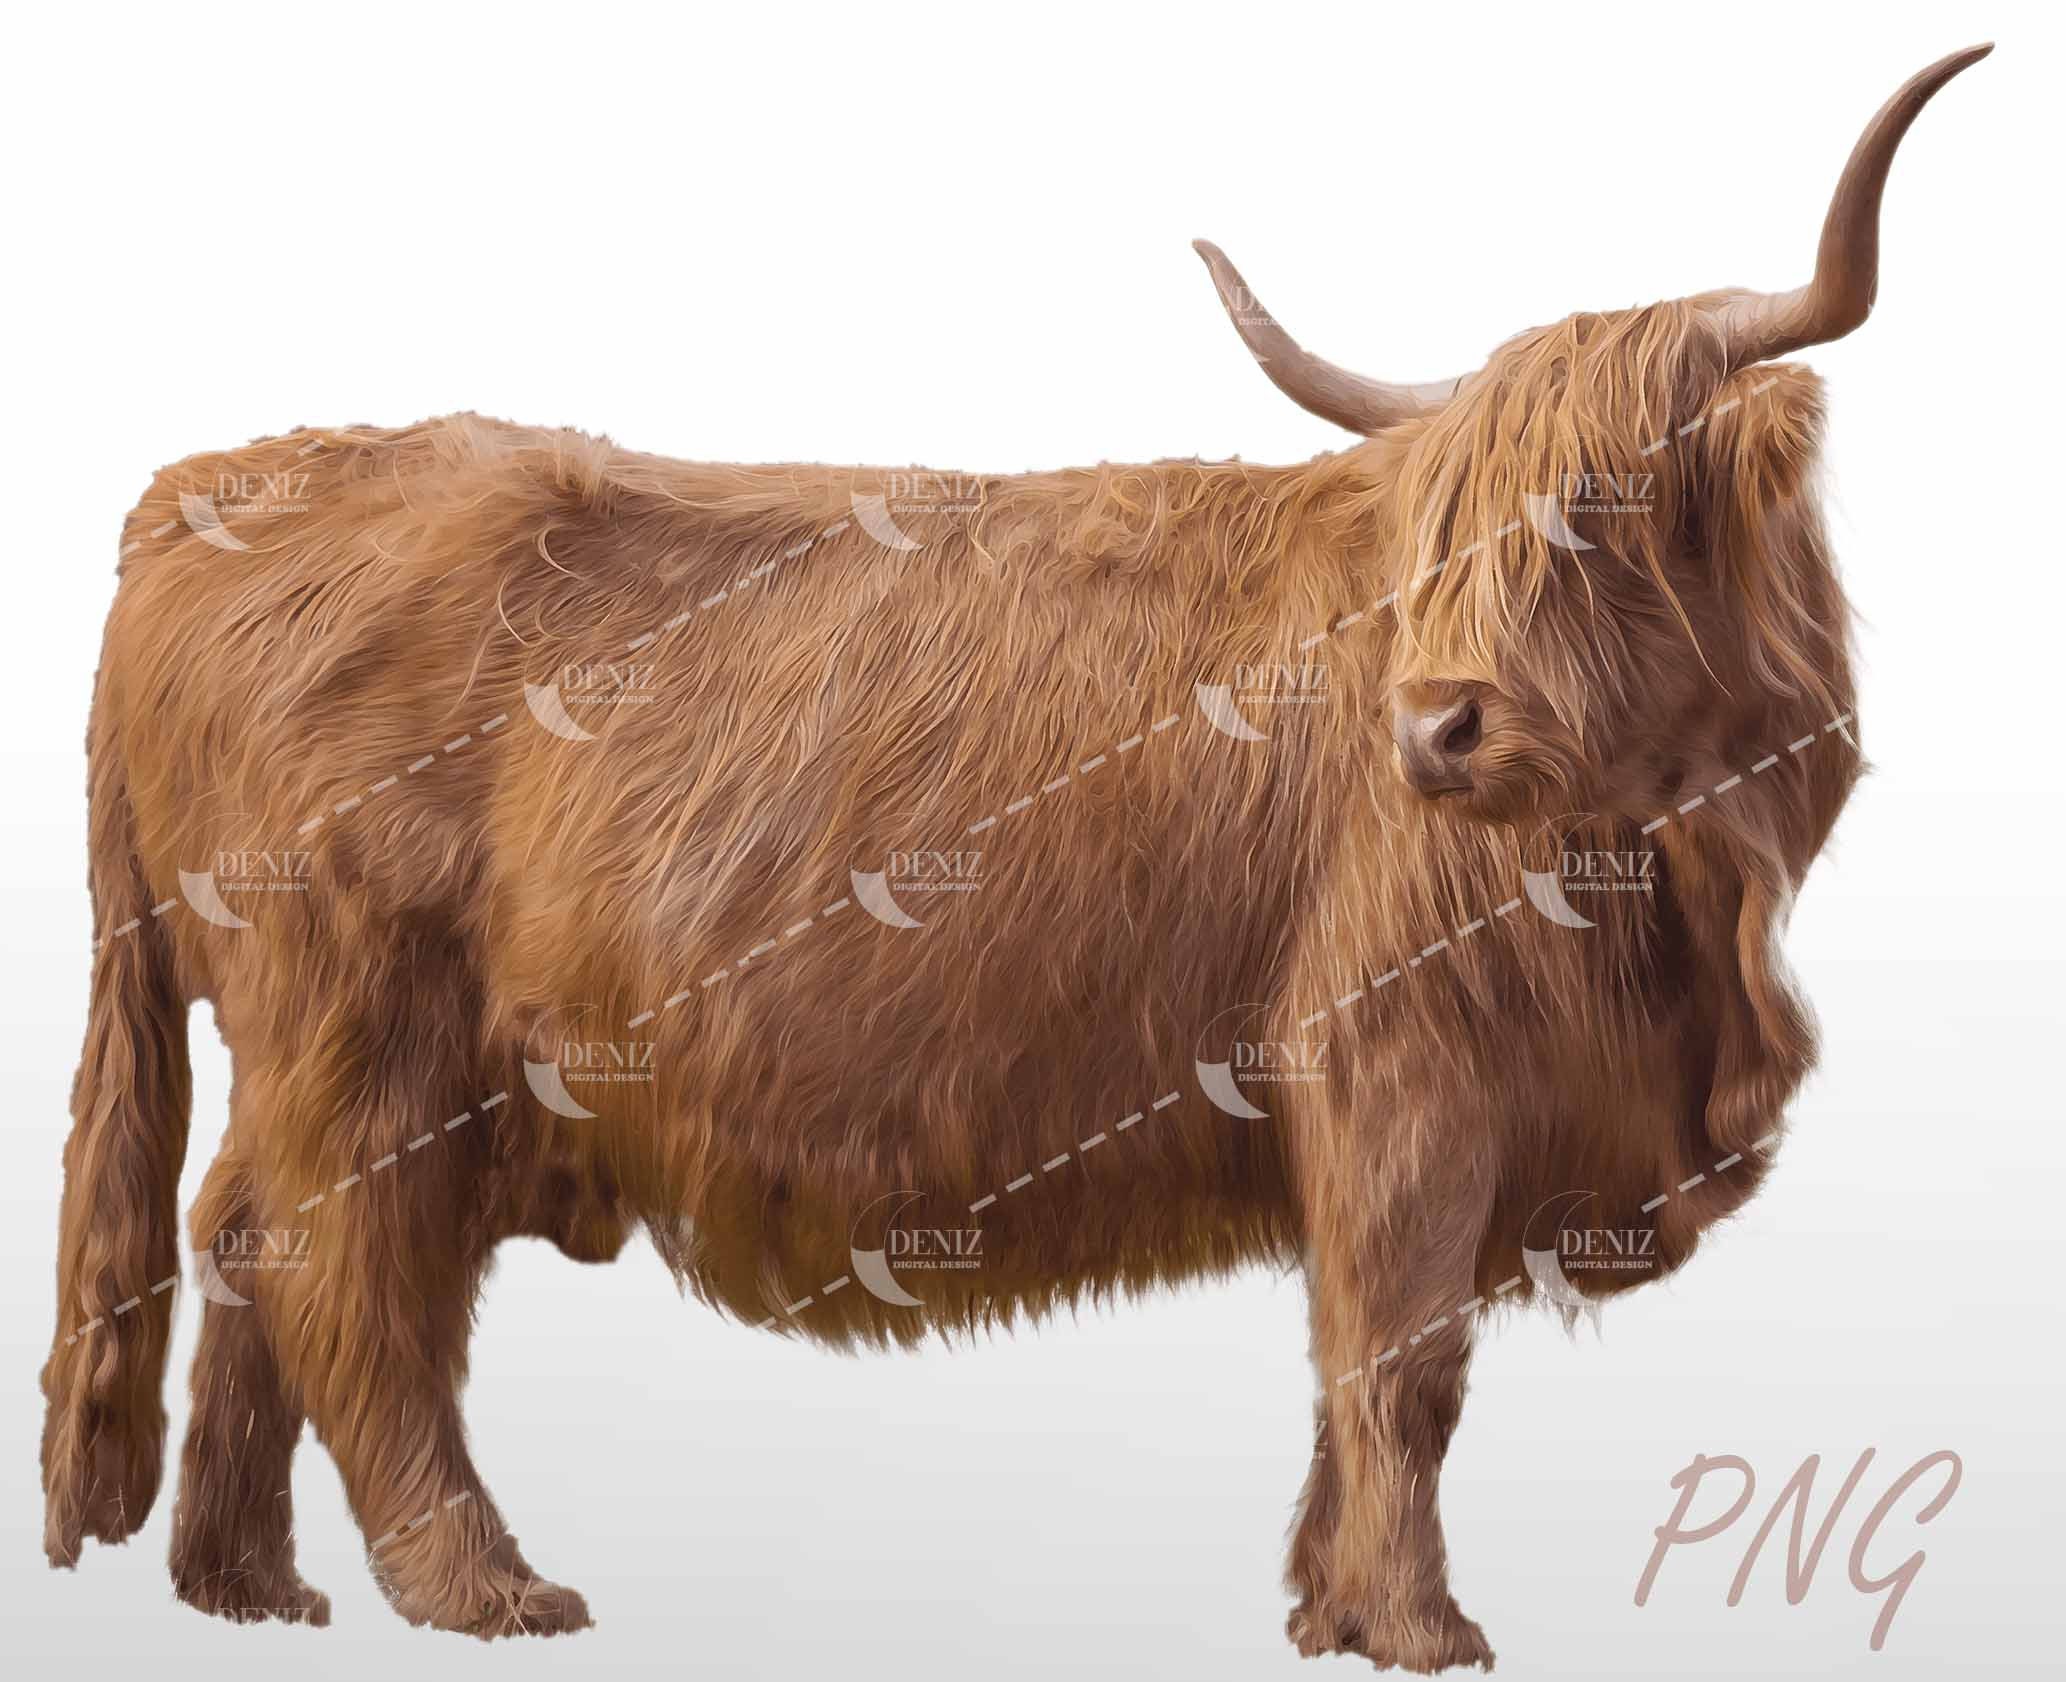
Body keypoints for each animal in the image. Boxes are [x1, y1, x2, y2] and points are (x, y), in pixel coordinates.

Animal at [41, 45, 1986, 1671]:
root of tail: (217, 489)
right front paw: (1420, 1630)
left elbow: (1351, 1367)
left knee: (238, 1239)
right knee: (350, 1277)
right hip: (365, 1035)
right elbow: (1401, 1360)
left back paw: (244, 1580)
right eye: (1439, 533)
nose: (1435, 731)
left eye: (1609, 504)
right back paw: (483, 1588)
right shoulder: (1398, 1074)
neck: (1693, 917)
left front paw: (1323, 1605)